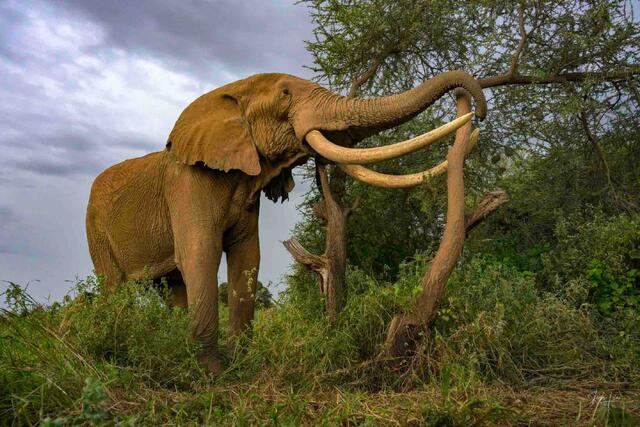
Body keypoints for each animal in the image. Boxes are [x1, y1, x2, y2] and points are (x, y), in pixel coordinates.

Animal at [86, 70, 486, 373]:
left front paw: (239, 368)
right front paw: (210, 376)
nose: (476, 112)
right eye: (285, 95)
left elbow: (247, 260)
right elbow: (200, 255)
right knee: (114, 286)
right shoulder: (188, 183)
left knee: (174, 287)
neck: (227, 95)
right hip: (95, 227)